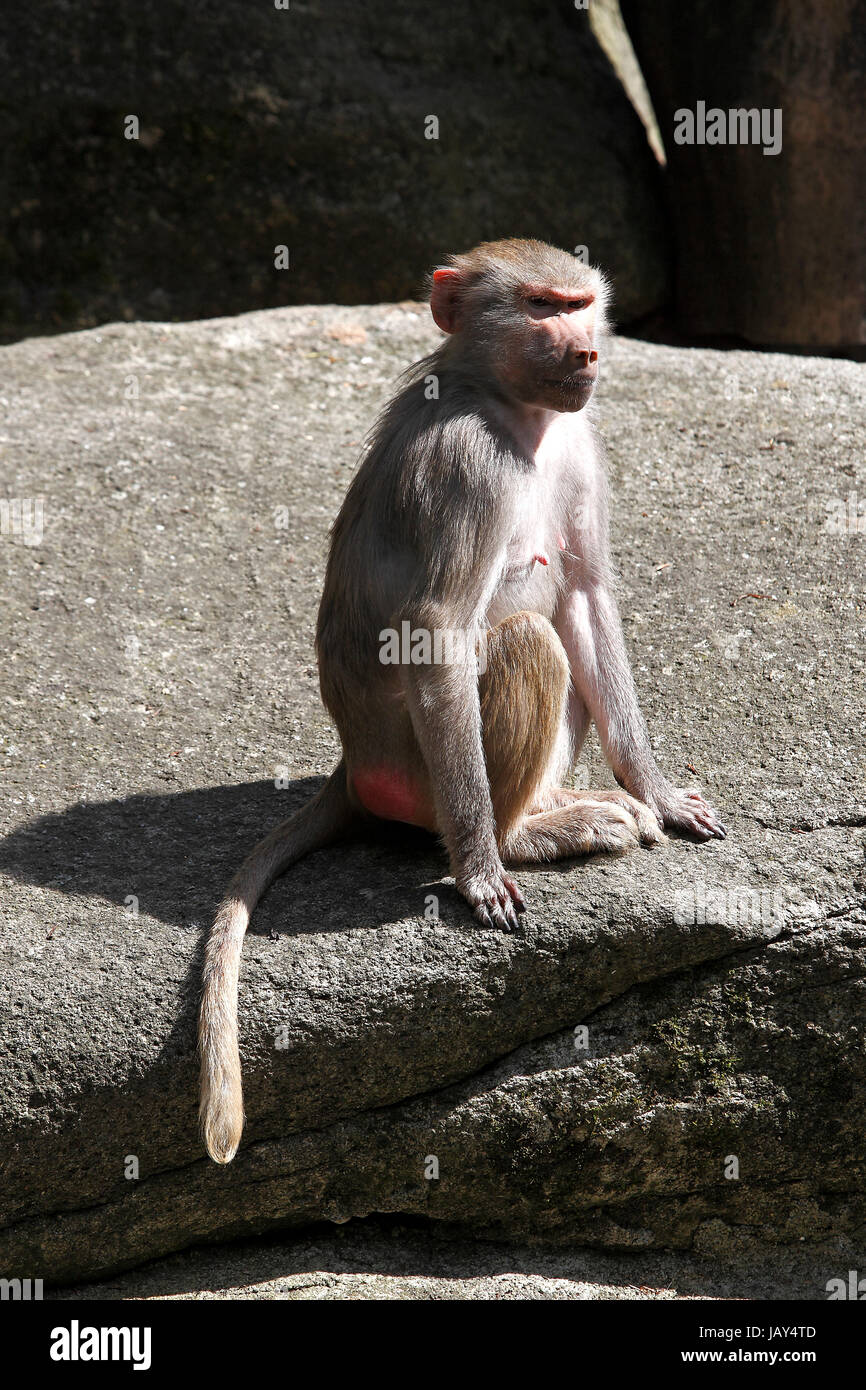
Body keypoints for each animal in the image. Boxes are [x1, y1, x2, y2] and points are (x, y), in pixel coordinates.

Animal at [199, 238, 726, 1164]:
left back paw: (562, 805)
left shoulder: (581, 444)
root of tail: (353, 763)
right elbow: (438, 633)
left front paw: (659, 791)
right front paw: (481, 869)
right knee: (528, 640)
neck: (514, 412)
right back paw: (521, 837)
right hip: (419, 783)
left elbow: (588, 595)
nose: (588, 352)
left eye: (581, 303)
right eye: (542, 306)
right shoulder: (464, 464)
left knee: (557, 624)